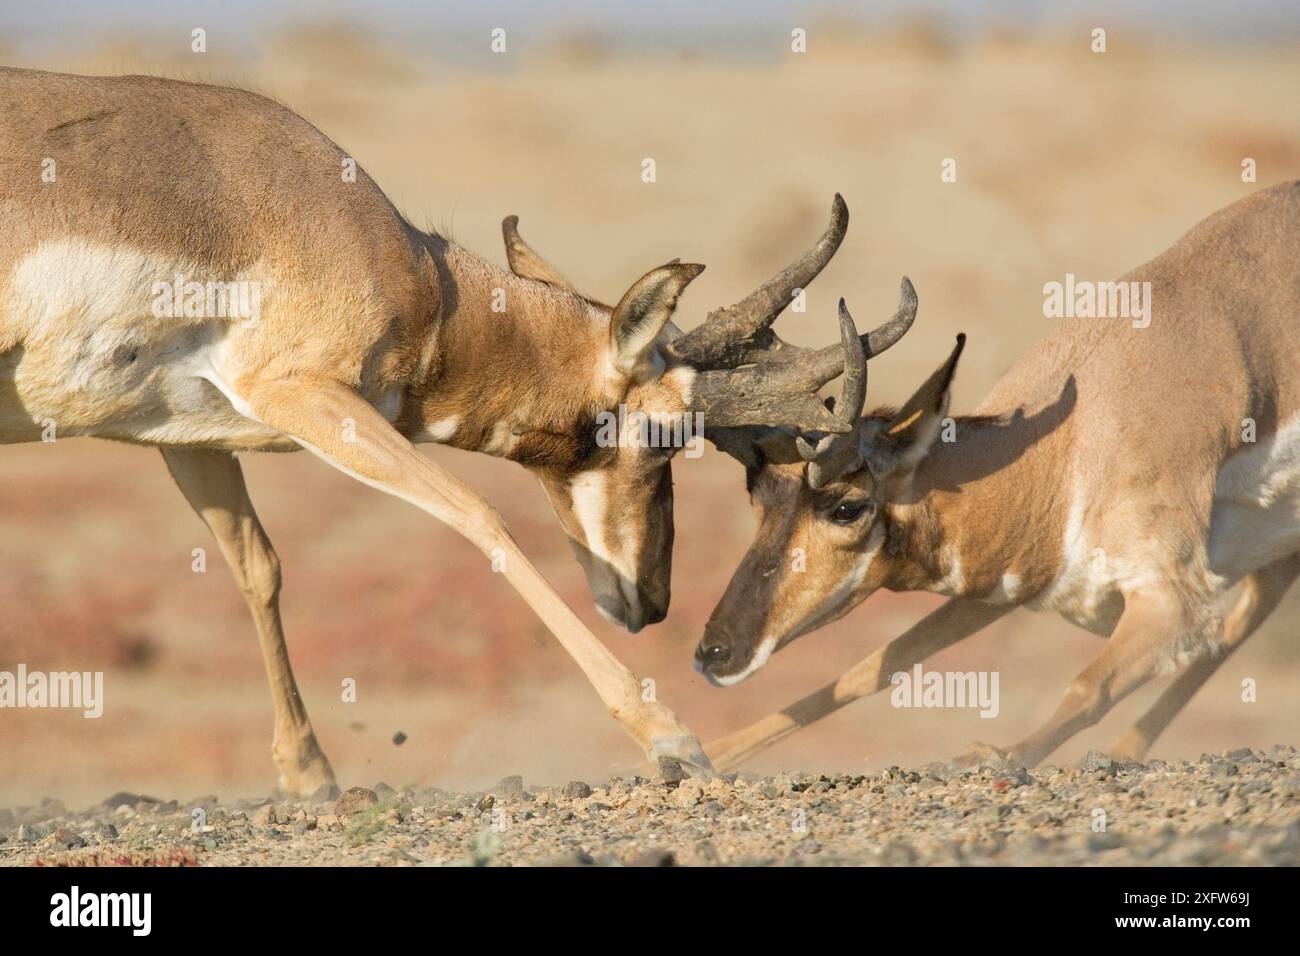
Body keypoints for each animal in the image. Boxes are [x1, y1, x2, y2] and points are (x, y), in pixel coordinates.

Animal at [0, 67, 899, 796]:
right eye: (667, 434)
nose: (651, 601)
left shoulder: (185, 432)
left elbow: (256, 563)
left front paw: (311, 776)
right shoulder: (302, 394)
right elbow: (480, 516)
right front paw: (674, 743)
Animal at [696, 182, 1300, 770]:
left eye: (846, 506)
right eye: (758, 498)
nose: (712, 654)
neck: (1067, 444)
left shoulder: (1172, 601)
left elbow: (1089, 685)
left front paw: (997, 752)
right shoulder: (995, 591)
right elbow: (874, 667)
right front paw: (698, 756)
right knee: (1251, 612)